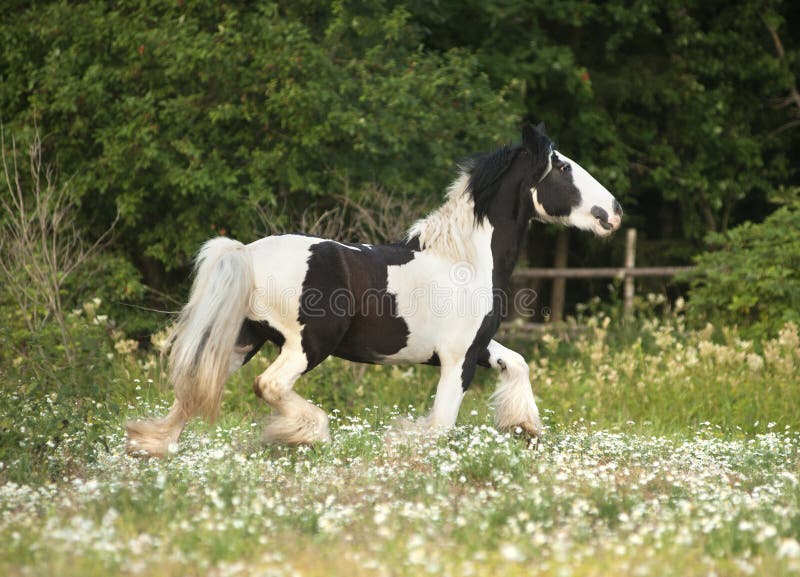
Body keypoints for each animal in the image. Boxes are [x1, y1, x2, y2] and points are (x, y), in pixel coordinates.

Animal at [126, 123, 622, 456]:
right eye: (562, 167)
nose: (614, 212)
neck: (463, 260)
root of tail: (246, 254)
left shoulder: (474, 347)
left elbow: (517, 363)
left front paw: (525, 428)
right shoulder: (458, 359)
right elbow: (440, 425)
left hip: (242, 340)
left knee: (191, 391)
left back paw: (150, 445)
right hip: (306, 345)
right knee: (268, 385)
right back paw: (307, 432)